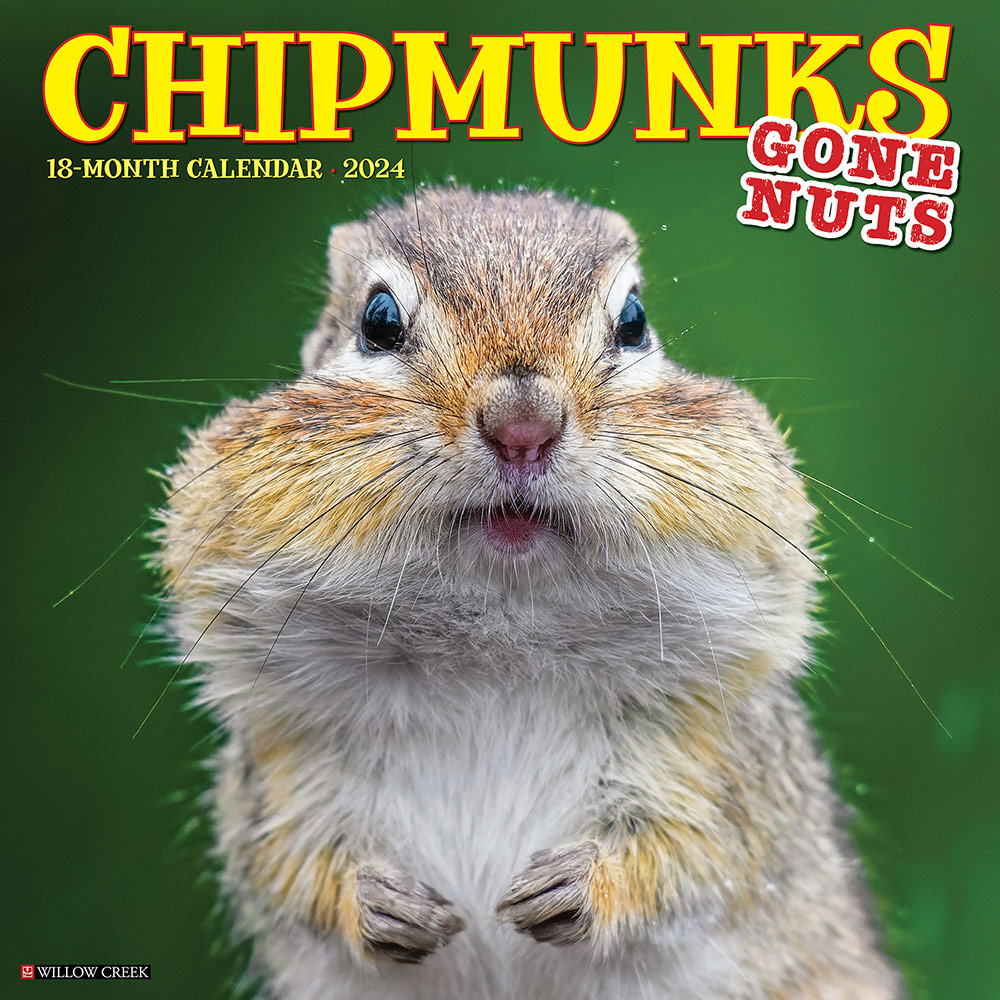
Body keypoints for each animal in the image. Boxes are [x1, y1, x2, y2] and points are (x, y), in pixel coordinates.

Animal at [155, 186, 907, 999]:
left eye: (633, 321)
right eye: (378, 320)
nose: (523, 426)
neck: (499, 645)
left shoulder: (721, 767)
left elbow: (699, 856)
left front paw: (581, 887)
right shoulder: (279, 780)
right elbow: (289, 870)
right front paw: (375, 904)